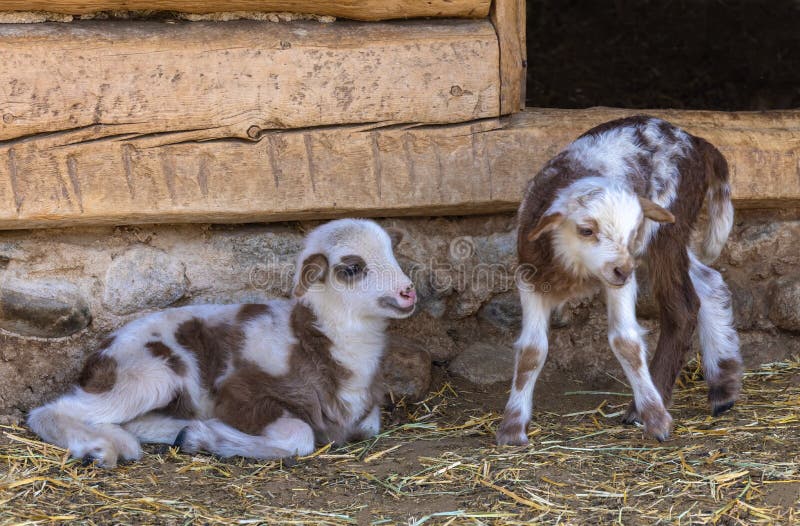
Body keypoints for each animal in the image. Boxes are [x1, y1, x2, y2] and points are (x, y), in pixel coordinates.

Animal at [27, 219, 417, 467]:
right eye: (352, 268)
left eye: (392, 253)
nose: (408, 292)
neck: (317, 345)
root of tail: (101, 352)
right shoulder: (243, 394)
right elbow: (299, 435)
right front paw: (211, 439)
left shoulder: (365, 412)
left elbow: (369, 424)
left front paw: (201, 435)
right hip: (147, 374)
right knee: (50, 411)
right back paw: (96, 448)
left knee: (131, 422)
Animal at [497, 116, 742, 445]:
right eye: (586, 230)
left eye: (631, 230)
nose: (623, 269)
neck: (577, 267)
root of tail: (694, 140)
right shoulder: (531, 275)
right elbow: (531, 351)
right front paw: (512, 427)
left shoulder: (623, 278)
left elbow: (626, 342)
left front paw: (656, 418)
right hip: (672, 233)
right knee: (709, 280)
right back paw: (723, 386)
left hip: (668, 225)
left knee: (683, 307)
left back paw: (652, 401)